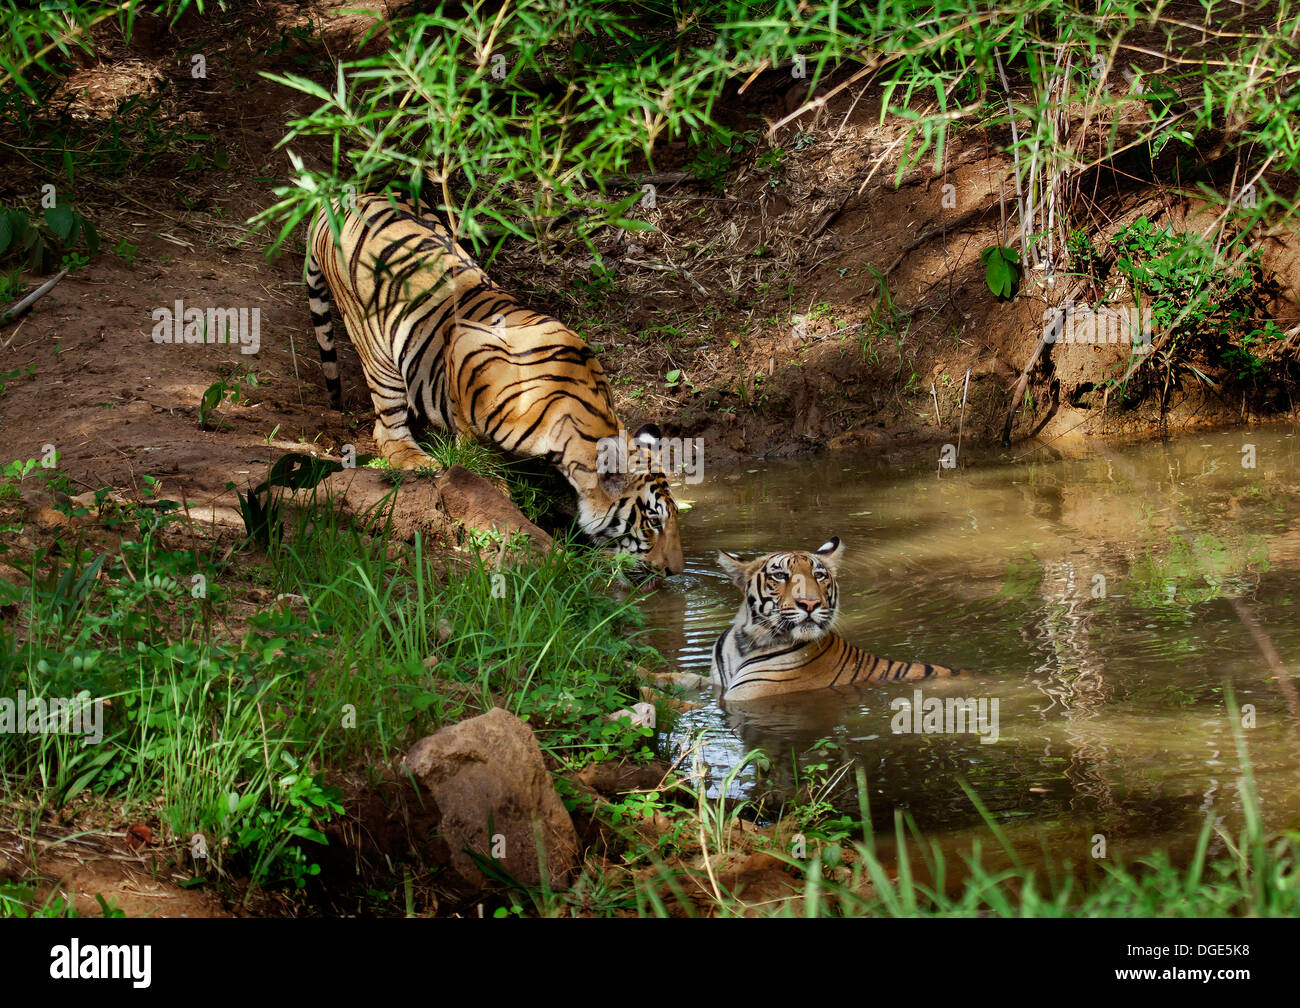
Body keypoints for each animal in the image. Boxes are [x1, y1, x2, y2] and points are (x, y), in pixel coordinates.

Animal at [303, 192, 683, 577]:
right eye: (653, 522)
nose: (676, 571)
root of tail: (344, 197)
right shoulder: (465, 353)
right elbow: (478, 457)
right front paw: (499, 494)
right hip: (373, 347)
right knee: (387, 429)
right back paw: (417, 459)